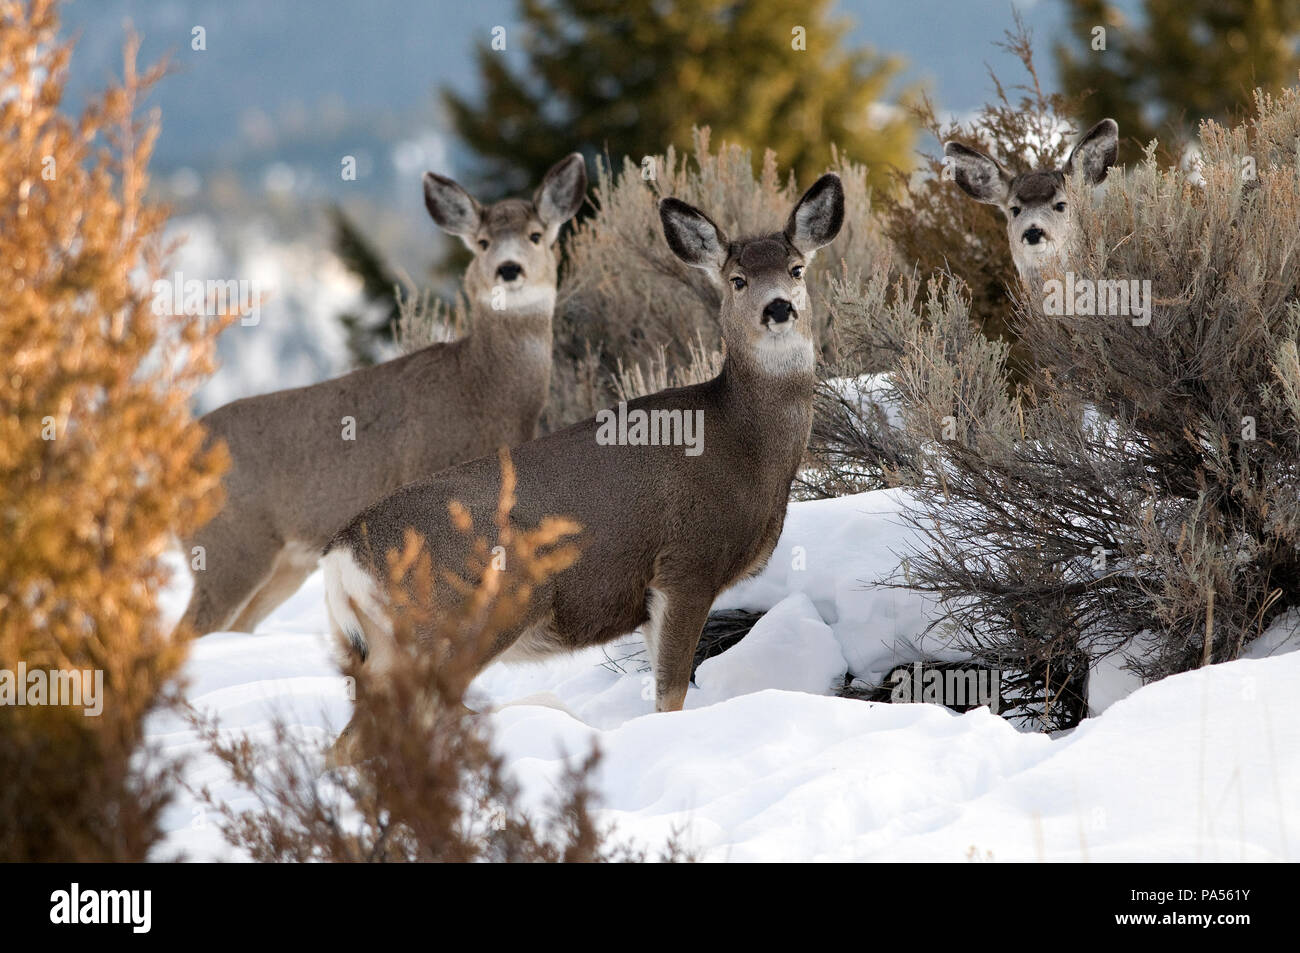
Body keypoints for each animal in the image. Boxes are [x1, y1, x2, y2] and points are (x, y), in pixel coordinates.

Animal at [178, 153, 588, 636]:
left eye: (536, 235)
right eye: (484, 242)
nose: (509, 269)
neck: (480, 389)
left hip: (284, 565)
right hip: (228, 547)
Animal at [321, 173, 846, 764]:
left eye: (796, 269)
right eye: (737, 280)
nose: (778, 308)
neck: (744, 443)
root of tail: (341, 554)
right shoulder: (686, 564)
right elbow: (670, 697)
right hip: (454, 625)